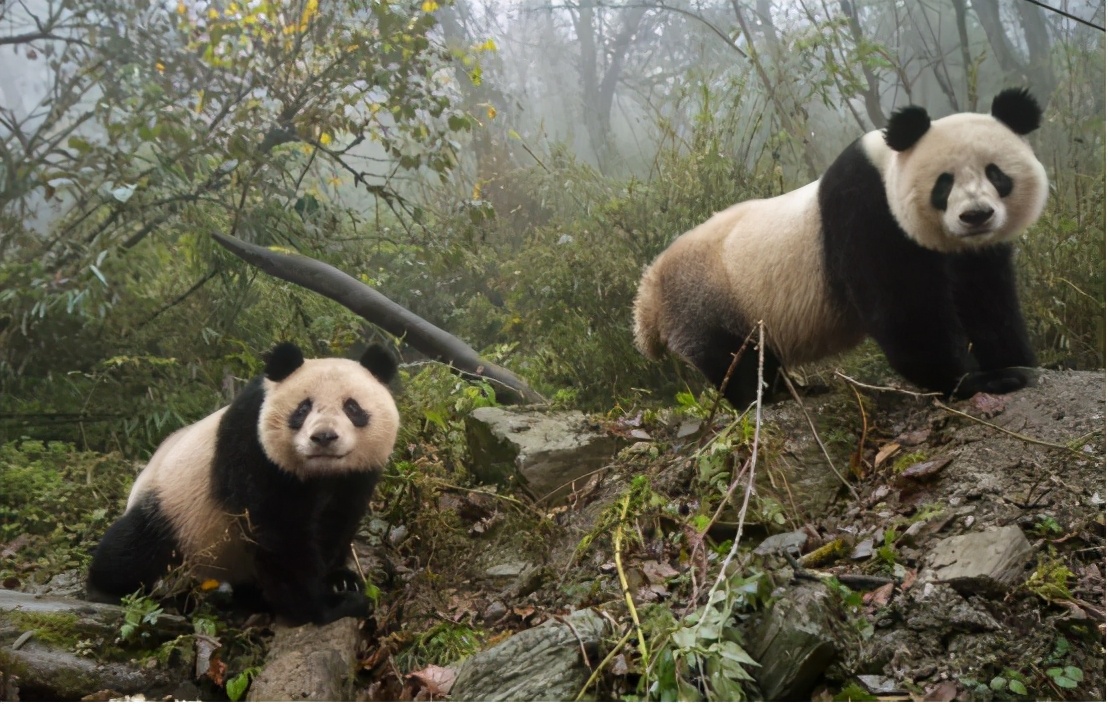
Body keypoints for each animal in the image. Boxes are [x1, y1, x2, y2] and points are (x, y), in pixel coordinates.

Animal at [87, 342, 401, 625]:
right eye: (302, 409)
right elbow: (279, 531)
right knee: (133, 549)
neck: (321, 473)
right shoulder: (251, 446)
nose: (323, 437)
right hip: (173, 510)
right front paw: (326, 606)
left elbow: (336, 521)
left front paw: (340, 581)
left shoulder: (355, 476)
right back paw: (106, 586)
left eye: (352, 407)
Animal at [633, 88, 1049, 409]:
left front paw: (1017, 361)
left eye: (996, 174)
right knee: (735, 359)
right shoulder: (866, 212)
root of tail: (648, 290)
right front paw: (978, 381)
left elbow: (986, 297)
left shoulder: (975, 252)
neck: (886, 165)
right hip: (706, 301)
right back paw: (766, 399)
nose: (976, 216)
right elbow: (905, 312)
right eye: (943, 184)